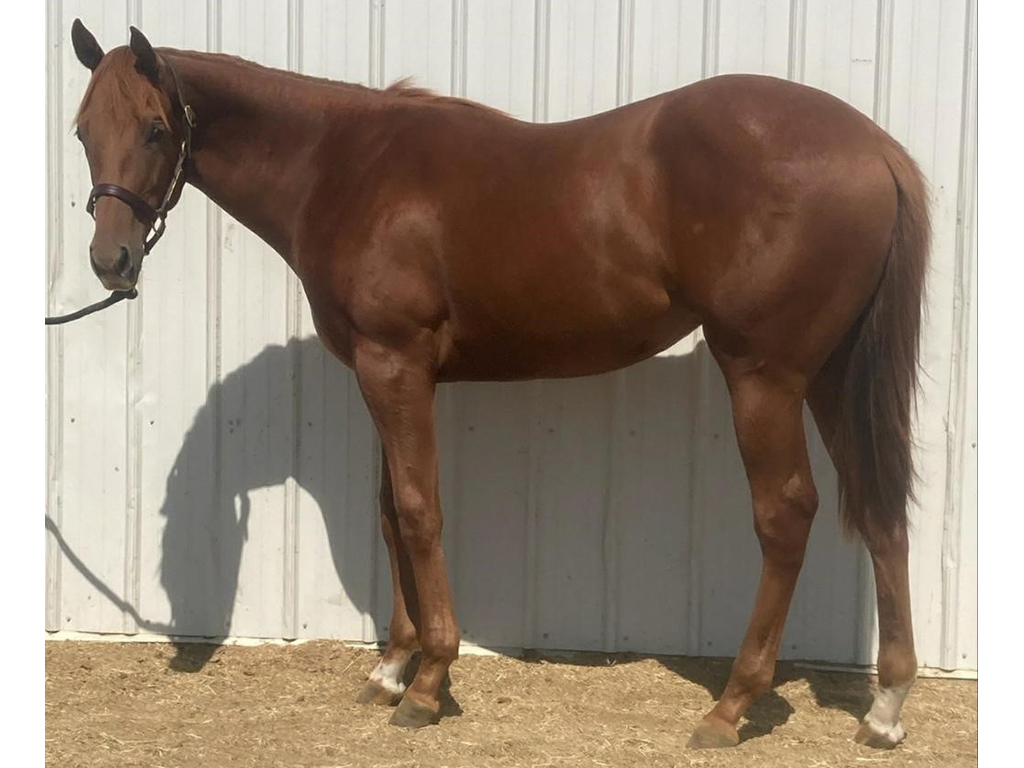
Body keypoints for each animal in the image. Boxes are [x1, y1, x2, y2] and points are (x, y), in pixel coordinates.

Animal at [68, 20, 929, 749]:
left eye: (154, 128)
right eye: (81, 130)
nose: (111, 262)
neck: (345, 167)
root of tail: (875, 147)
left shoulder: (396, 366)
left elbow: (421, 513)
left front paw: (427, 685)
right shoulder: (386, 373)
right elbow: (390, 513)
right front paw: (392, 669)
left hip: (763, 374)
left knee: (786, 515)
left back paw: (731, 706)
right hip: (833, 375)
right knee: (880, 510)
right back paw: (885, 709)